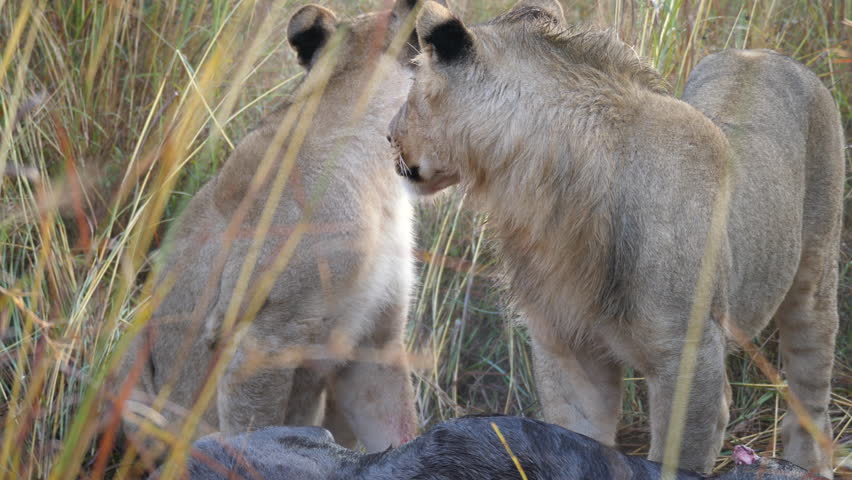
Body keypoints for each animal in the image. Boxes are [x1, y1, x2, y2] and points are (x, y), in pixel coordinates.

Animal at [388, 0, 844, 476]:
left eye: (414, 86)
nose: (387, 136)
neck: (546, 197)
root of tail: (763, 52)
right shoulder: (568, 350)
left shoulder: (690, 361)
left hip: (814, 276)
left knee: (810, 392)